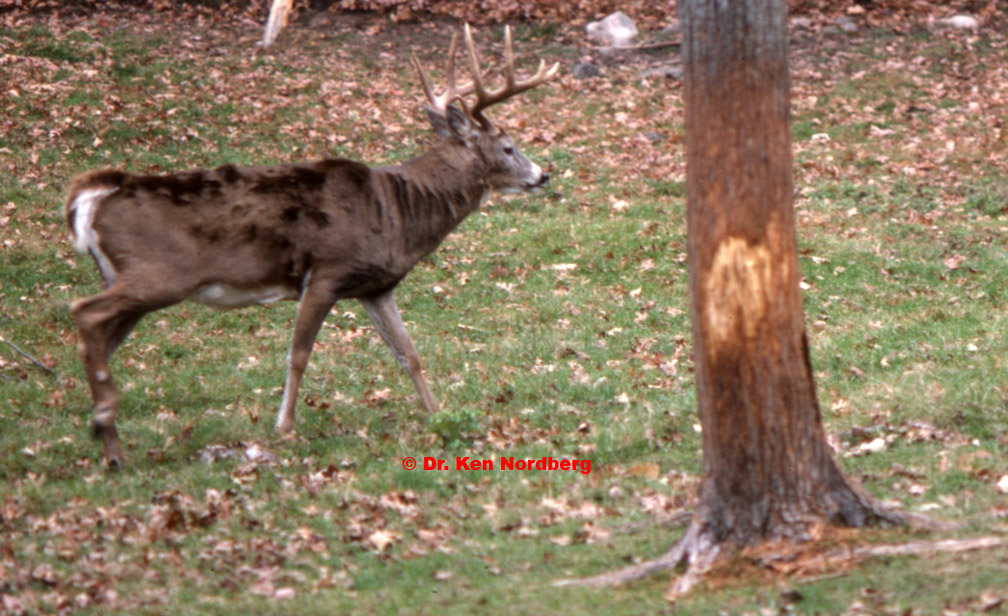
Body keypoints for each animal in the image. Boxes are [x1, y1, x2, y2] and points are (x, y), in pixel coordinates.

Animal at [64, 25, 559, 467]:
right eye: (509, 147)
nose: (543, 174)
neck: (397, 211)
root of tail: (92, 196)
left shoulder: (376, 287)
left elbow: (409, 354)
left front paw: (437, 414)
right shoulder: (326, 273)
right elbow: (298, 356)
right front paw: (284, 427)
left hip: (130, 282)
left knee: (97, 340)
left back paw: (109, 443)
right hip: (158, 275)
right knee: (83, 312)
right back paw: (105, 428)